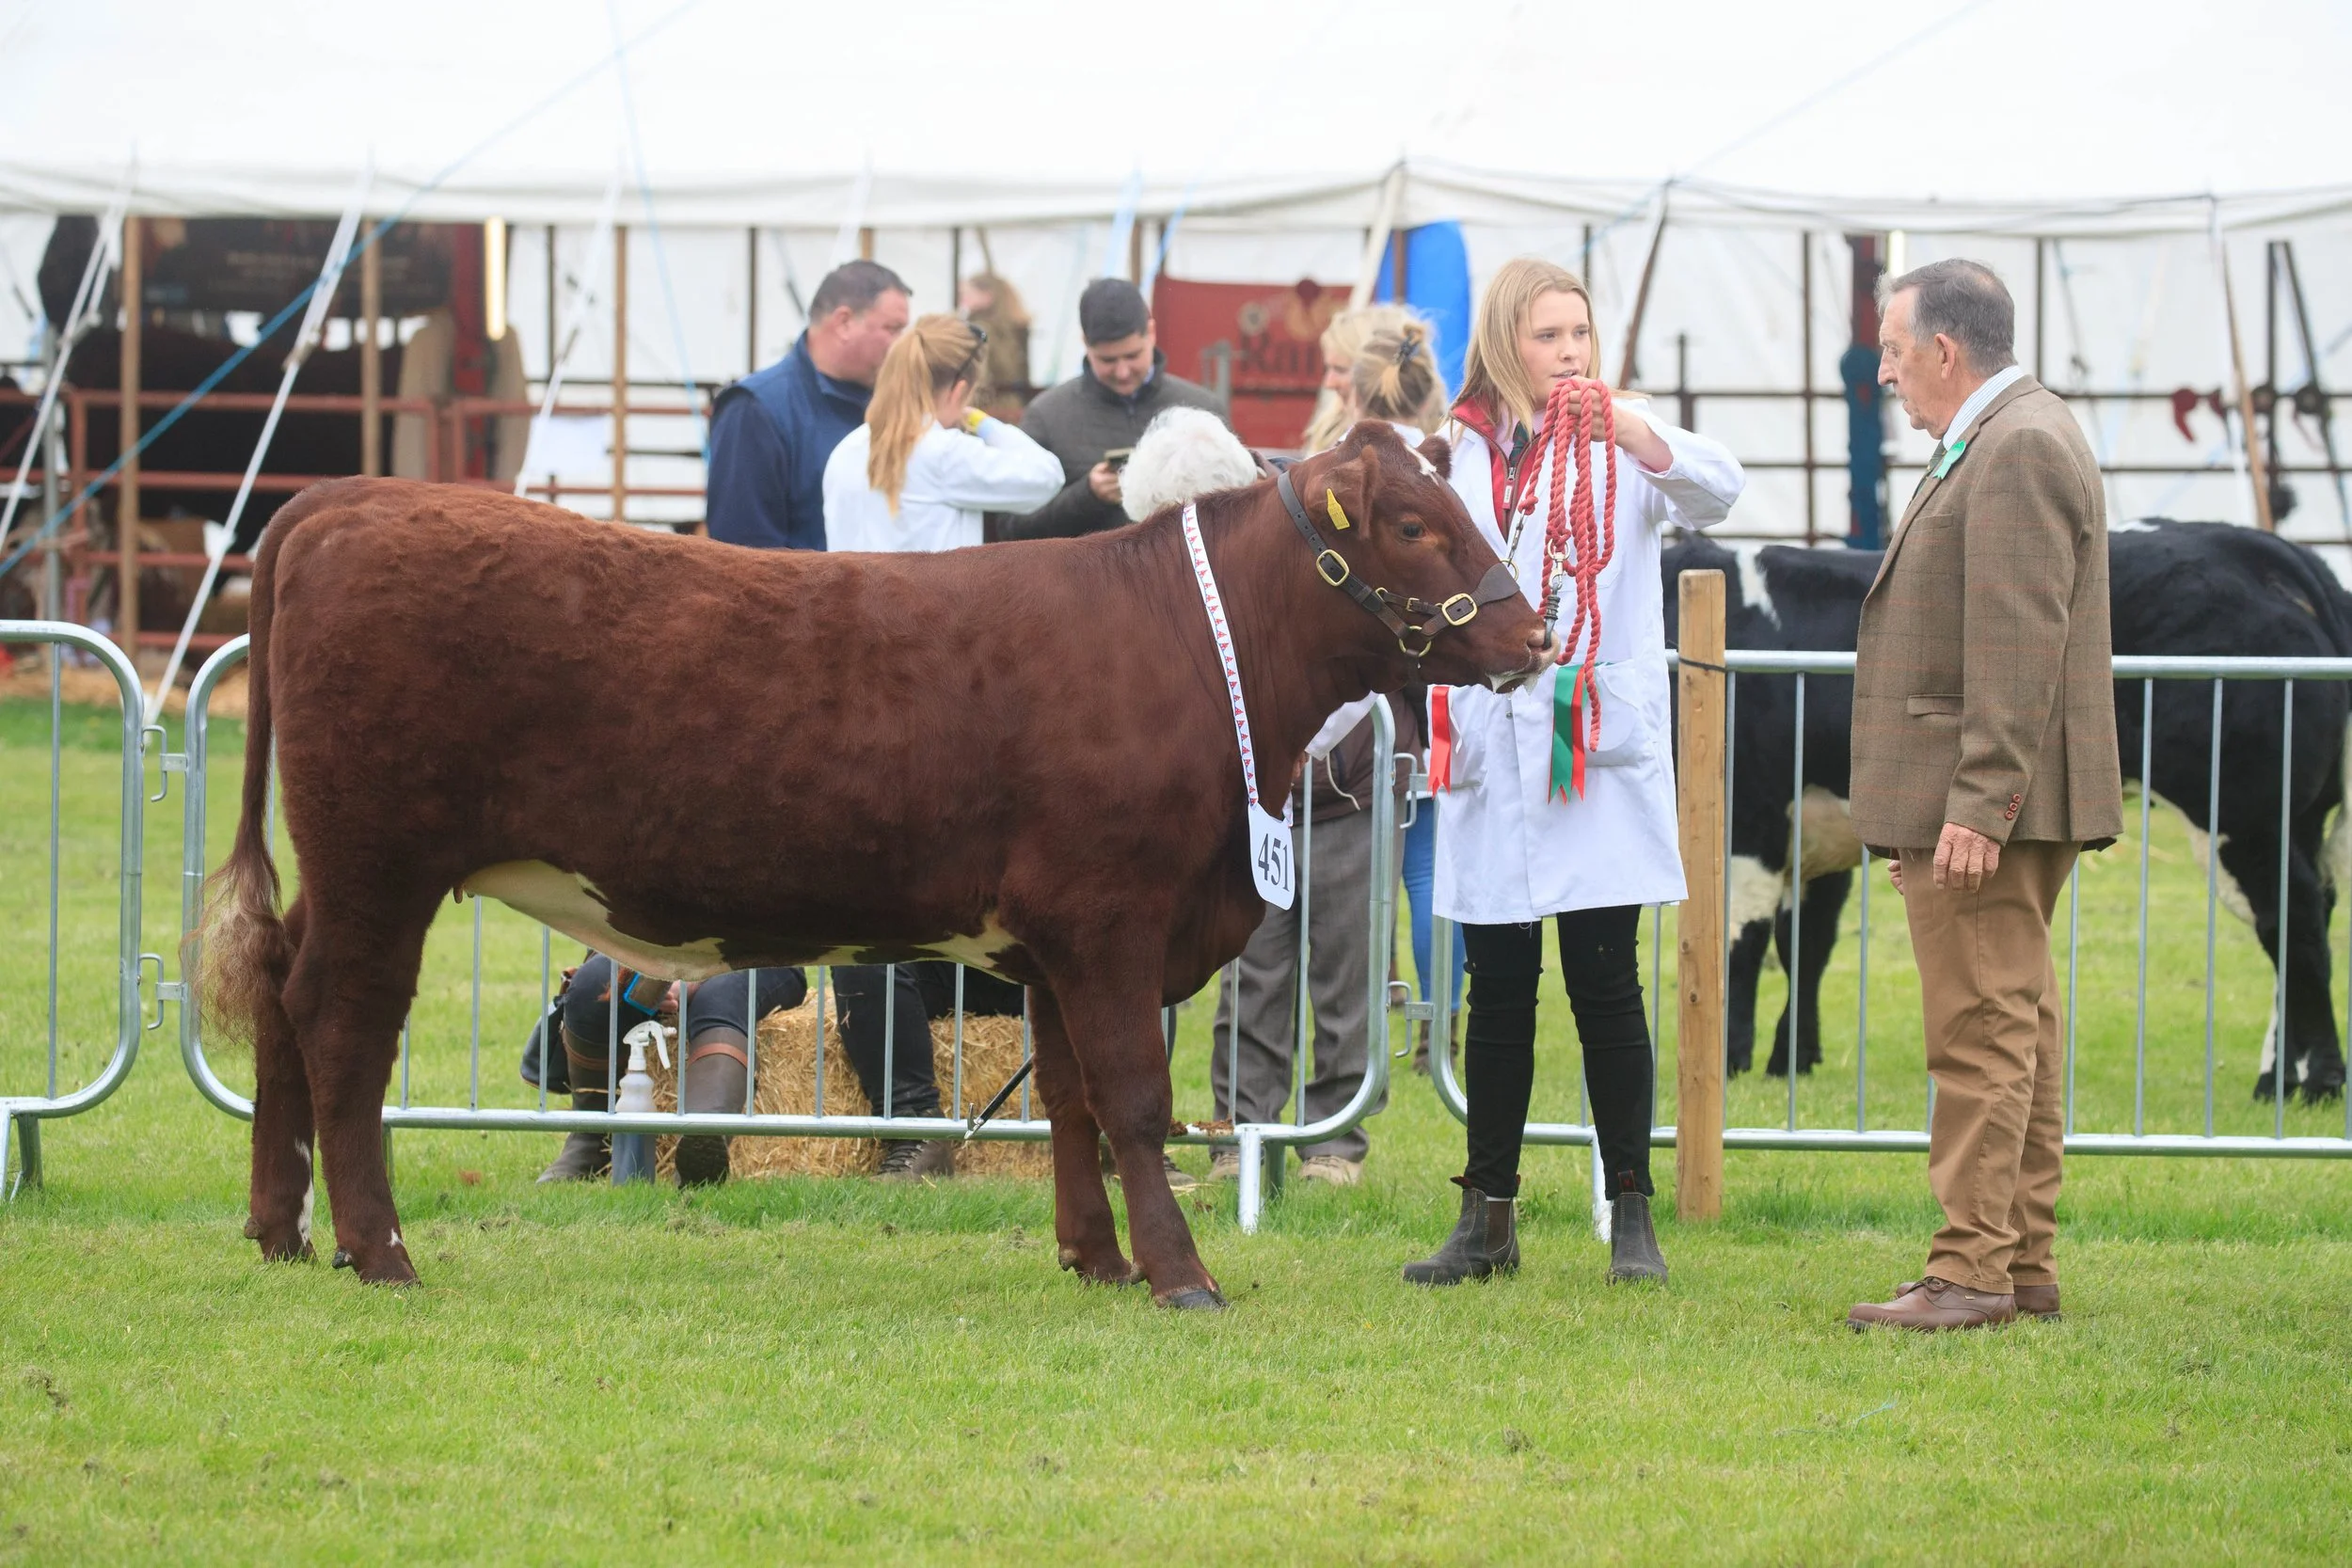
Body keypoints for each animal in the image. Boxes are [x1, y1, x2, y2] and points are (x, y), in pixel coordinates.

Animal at [193, 423, 1549, 1305]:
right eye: (1415, 523)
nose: (1533, 633)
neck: (1183, 640)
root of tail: (343, 499)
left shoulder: (1051, 942)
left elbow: (1069, 1098)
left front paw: (1096, 1258)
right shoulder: (1111, 918)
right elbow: (1133, 1098)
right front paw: (1180, 1274)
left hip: (348, 867)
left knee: (279, 988)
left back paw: (278, 1228)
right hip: (382, 861)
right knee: (342, 1021)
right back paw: (378, 1249)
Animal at [1663, 521, 2352, 1105]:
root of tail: (2257, 548)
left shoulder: (1750, 817)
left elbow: (1739, 938)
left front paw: (1727, 1058)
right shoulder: (1816, 832)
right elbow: (1806, 945)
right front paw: (1791, 1060)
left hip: (2242, 813)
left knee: (2295, 921)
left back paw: (2314, 1082)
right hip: (2294, 816)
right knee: (2307, 911)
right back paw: (2278, 1077)